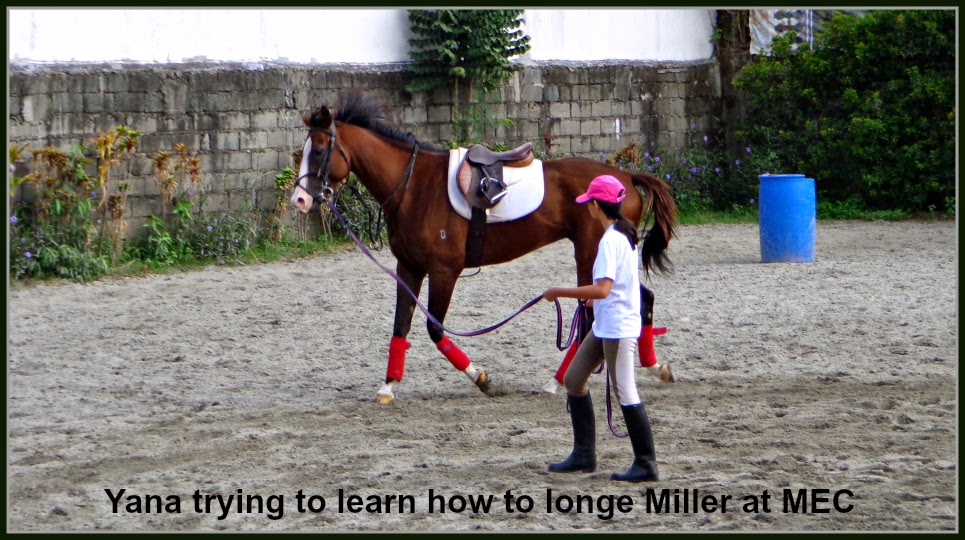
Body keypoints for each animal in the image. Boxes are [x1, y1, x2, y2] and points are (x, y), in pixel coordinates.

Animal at [290, 89, 676, 404]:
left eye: (320, 150)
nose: (299, 200)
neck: (414, 186)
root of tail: (627, 178)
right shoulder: (408, 268)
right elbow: (401, 325)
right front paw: (387, 386)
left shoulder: (444, 271)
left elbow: (434, 329)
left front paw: (483, 379)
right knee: (641, 300)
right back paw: (653, 366)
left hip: (591, 254)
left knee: (595, 314)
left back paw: (557, 382)